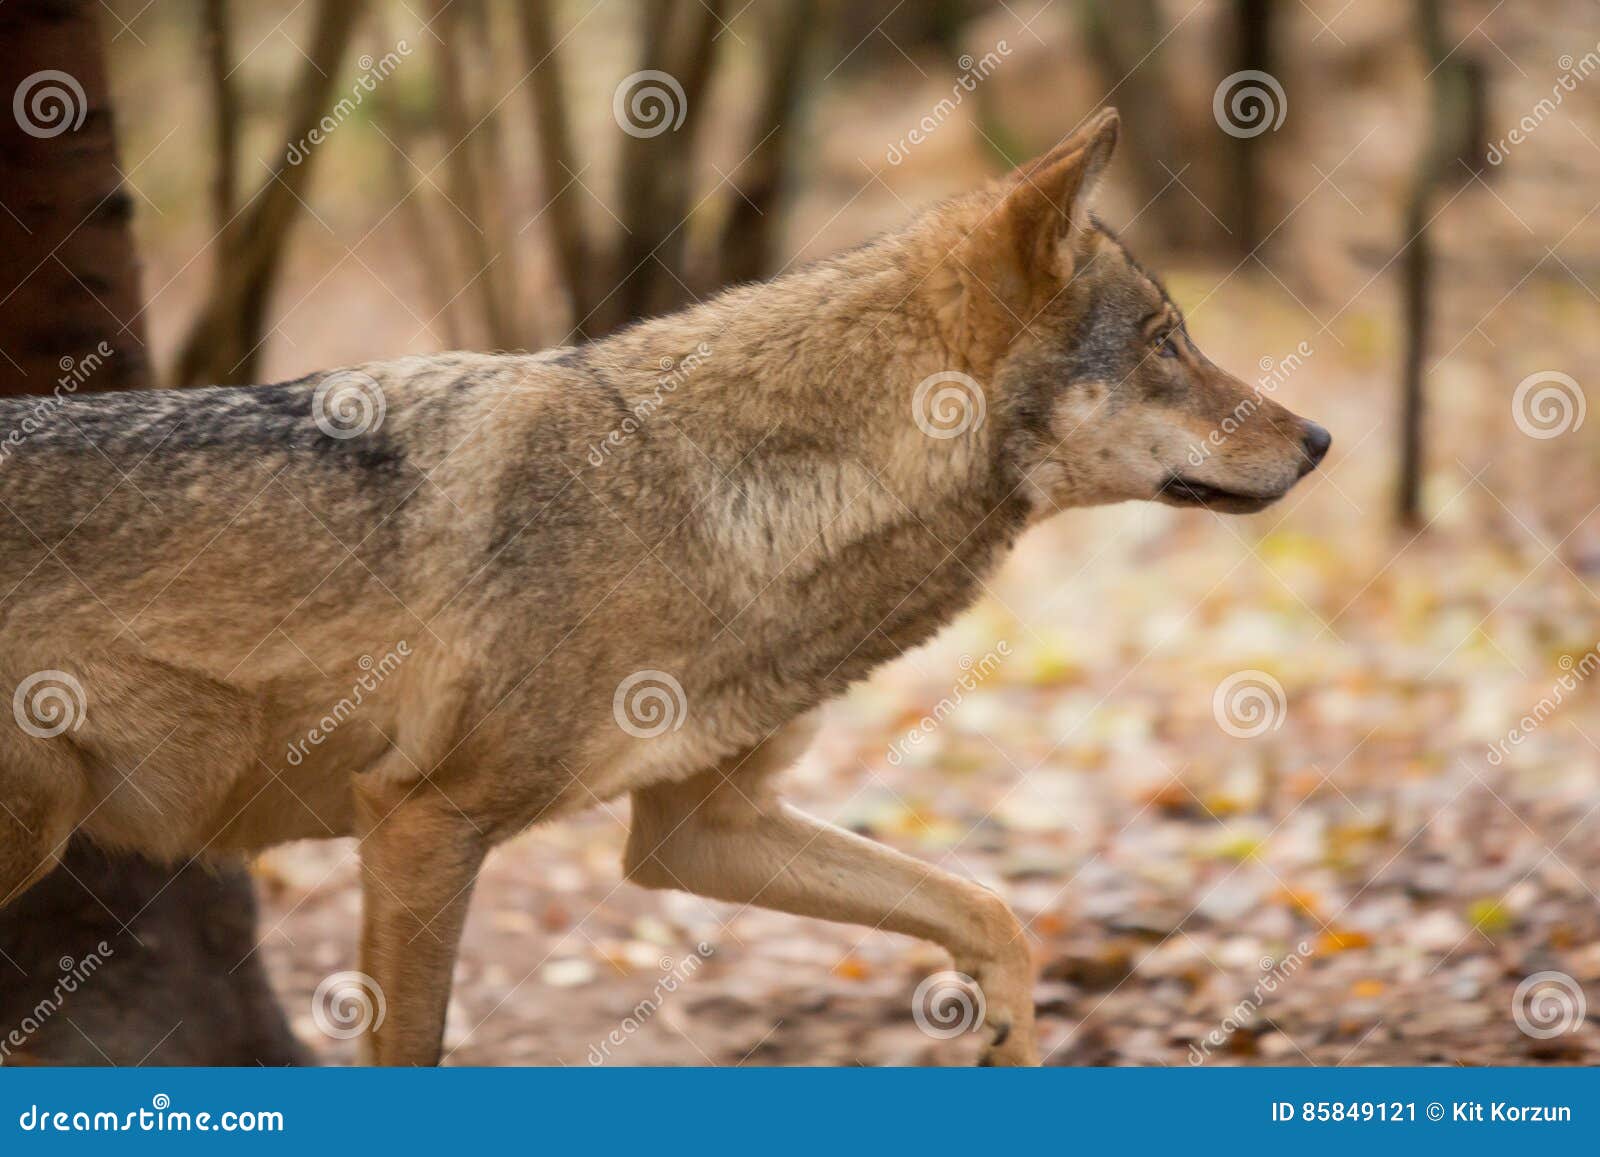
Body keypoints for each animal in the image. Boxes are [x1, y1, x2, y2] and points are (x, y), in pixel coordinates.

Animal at [0, 109, 1327, 1066]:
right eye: (1165, 341)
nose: (1319, 439)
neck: (708, 495)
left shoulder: (698, 830)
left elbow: (989, 907)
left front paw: (1008, 1036)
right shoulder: (422, 818)